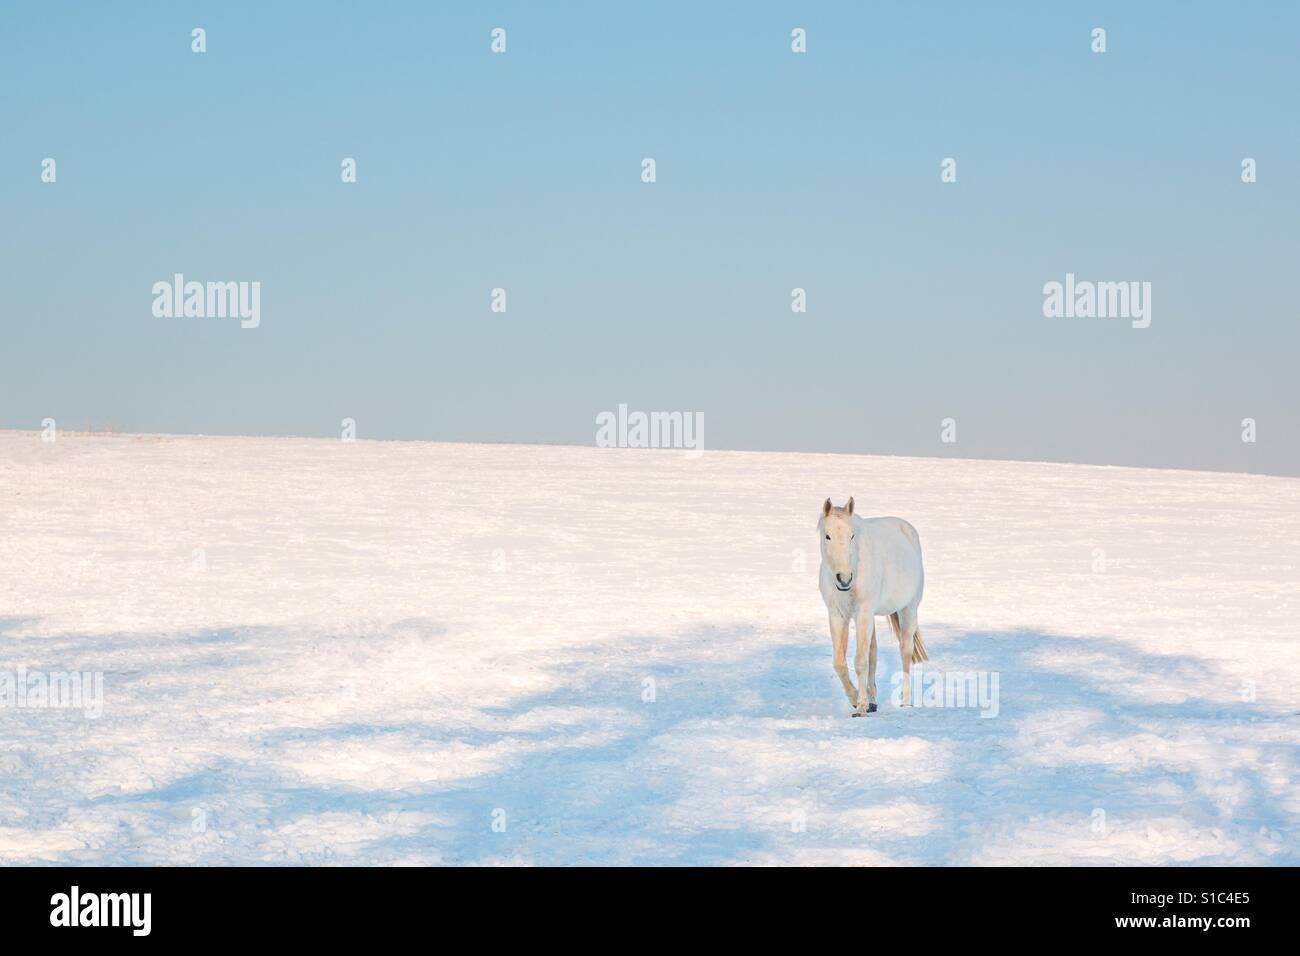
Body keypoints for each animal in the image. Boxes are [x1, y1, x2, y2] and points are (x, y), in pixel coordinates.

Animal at [817, 497, 928, 715]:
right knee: (874, 653)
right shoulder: (837, 615)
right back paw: (873, 700)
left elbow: (860, 661)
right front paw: (856, 700)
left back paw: (905, 701)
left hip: (908, 609)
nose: (844, 579)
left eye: (852, 536)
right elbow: (840, 662)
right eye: (827, 536)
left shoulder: (863, 614)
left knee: (905, 651)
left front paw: (860, 707)